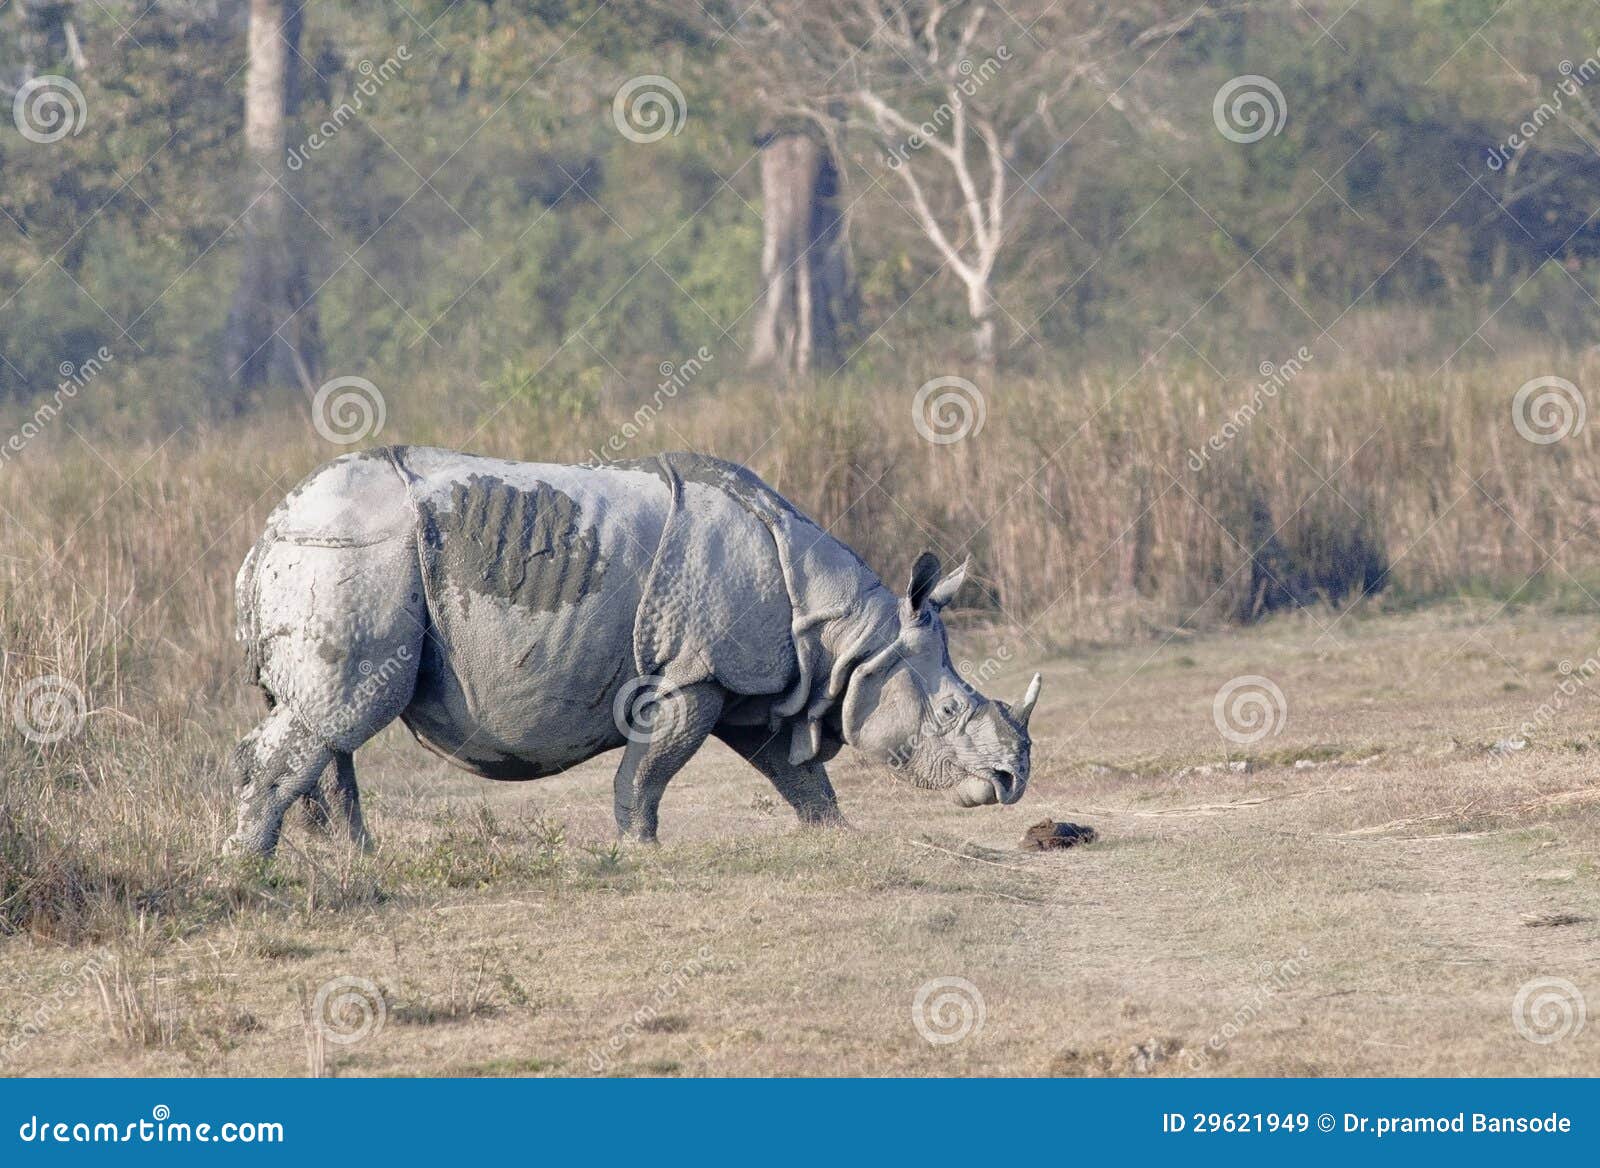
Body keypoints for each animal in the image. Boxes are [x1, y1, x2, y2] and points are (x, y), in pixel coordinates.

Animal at [225, 447, 1040, 856]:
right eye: (951, 710)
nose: (1011, 782)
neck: (847, 640)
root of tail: (264, 533)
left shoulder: (759, 686)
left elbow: (794, 771)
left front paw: (835, 835)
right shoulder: (691, 675)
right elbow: (648, 771)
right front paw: (641, 851)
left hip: (342, 555)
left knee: (334, 726)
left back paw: (355, 860)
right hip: (351, 554)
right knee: (338, 714)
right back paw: (249, 869)